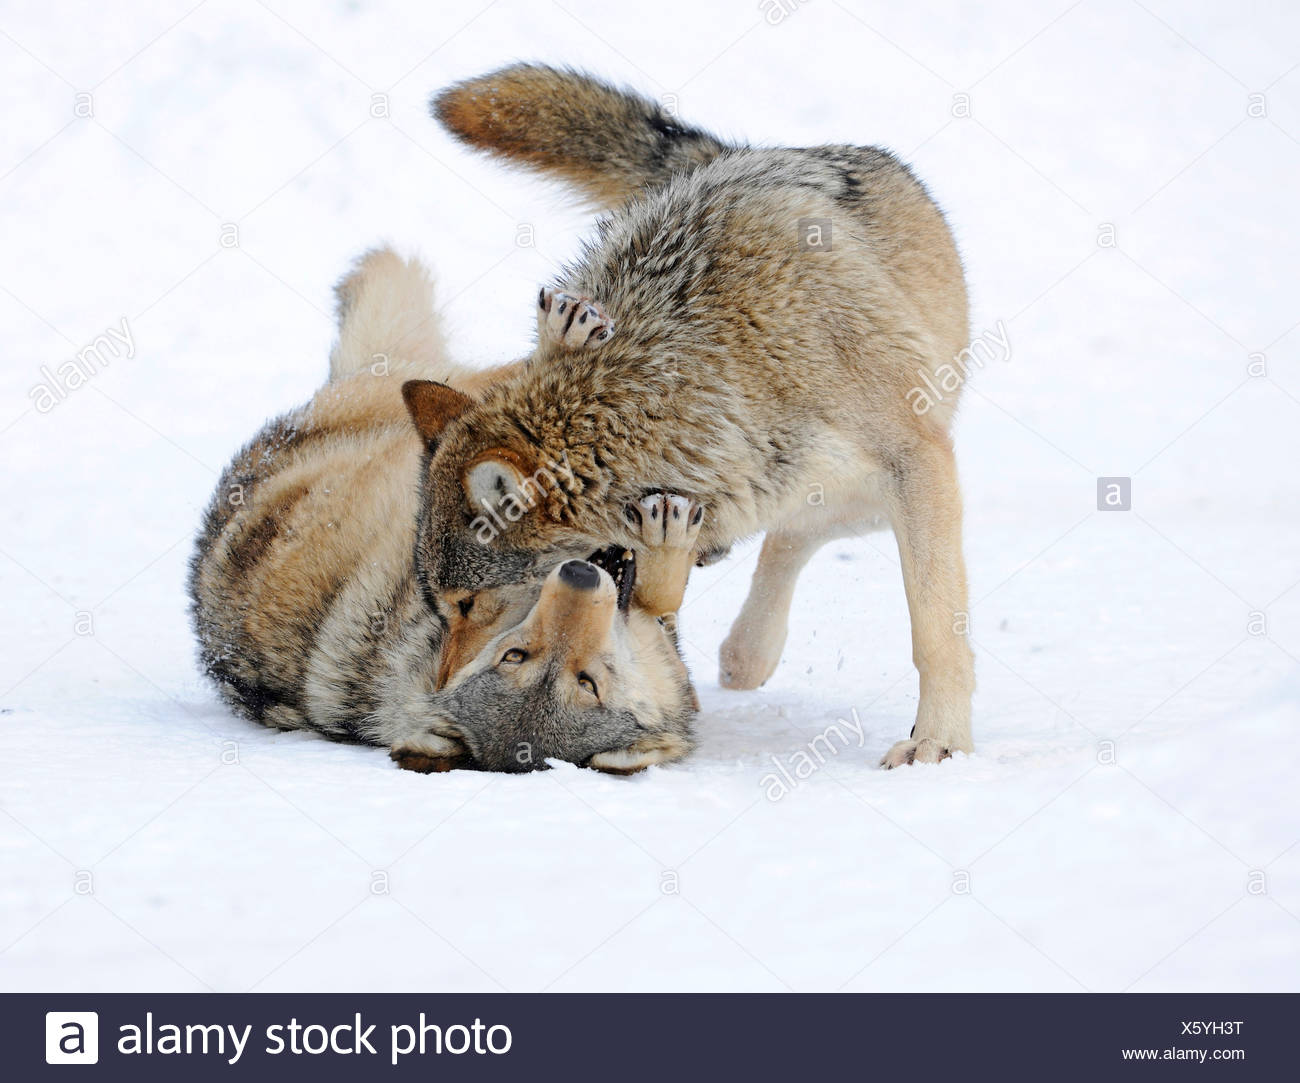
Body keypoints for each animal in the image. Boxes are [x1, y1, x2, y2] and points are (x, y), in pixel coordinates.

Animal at [407, 63, 976, 767]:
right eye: (440, 604)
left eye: (467, 603)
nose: (438, 690)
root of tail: (744, 153)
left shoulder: (914, 465)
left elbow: (935, 630)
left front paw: (939, 742)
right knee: (783, 538)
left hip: (880, 488)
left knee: (796, 536)